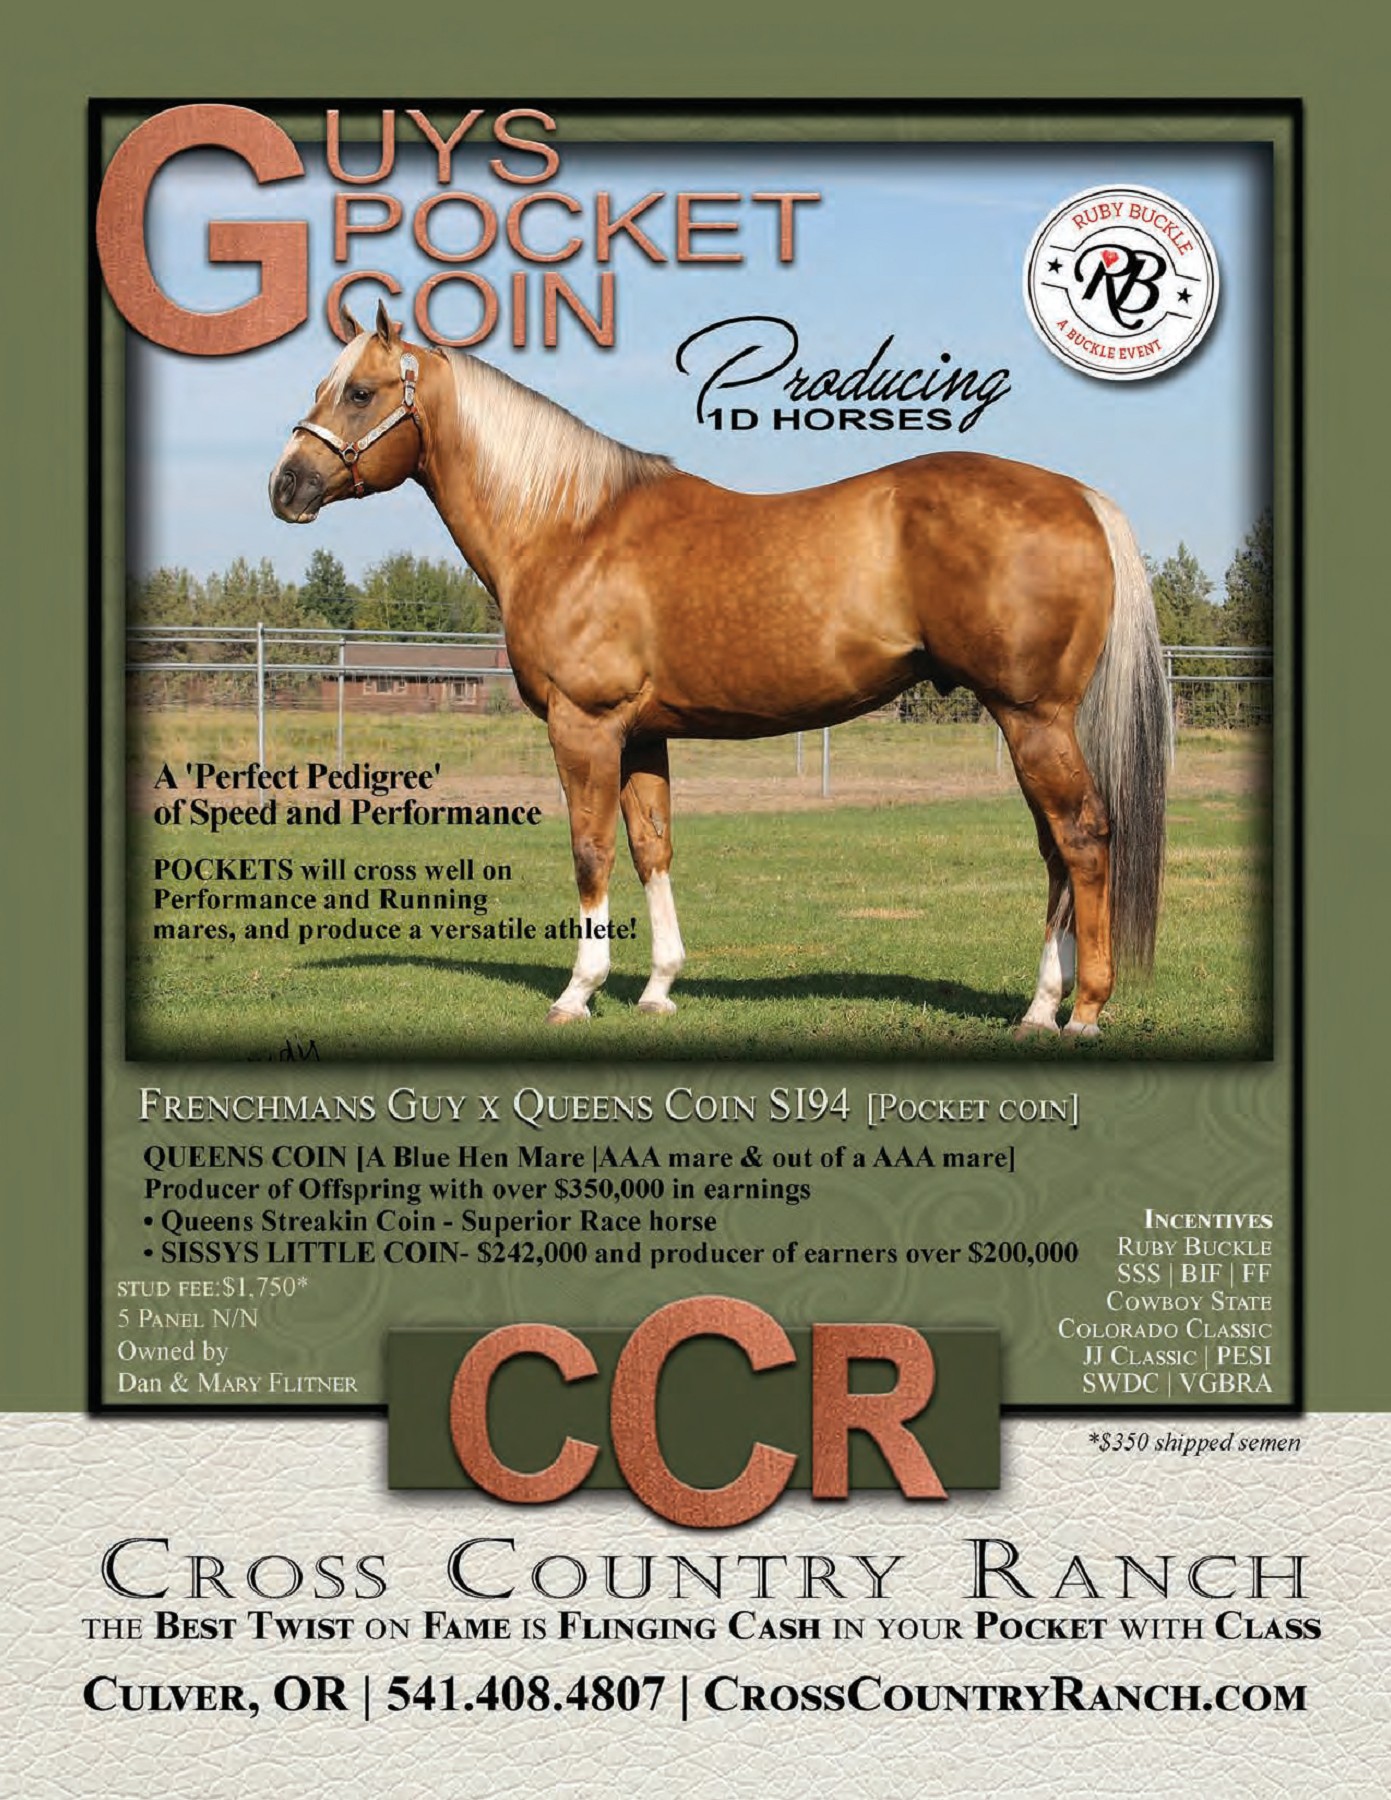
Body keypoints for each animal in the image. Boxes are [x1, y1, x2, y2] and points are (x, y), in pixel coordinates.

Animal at [270, 303, 1169, 1038]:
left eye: (360, 392)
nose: (287, 486)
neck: (569, 525)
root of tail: (1080, 497)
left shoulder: (583, 726)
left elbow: (589, 849)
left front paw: (577, 993)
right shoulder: (640, 735)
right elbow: (651, 847)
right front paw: (657, 989)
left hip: (1031, 716)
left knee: (1081, 838)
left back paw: (1081, 1010)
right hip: (1027, 721)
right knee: (1053, 849)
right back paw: (1040, 1007)